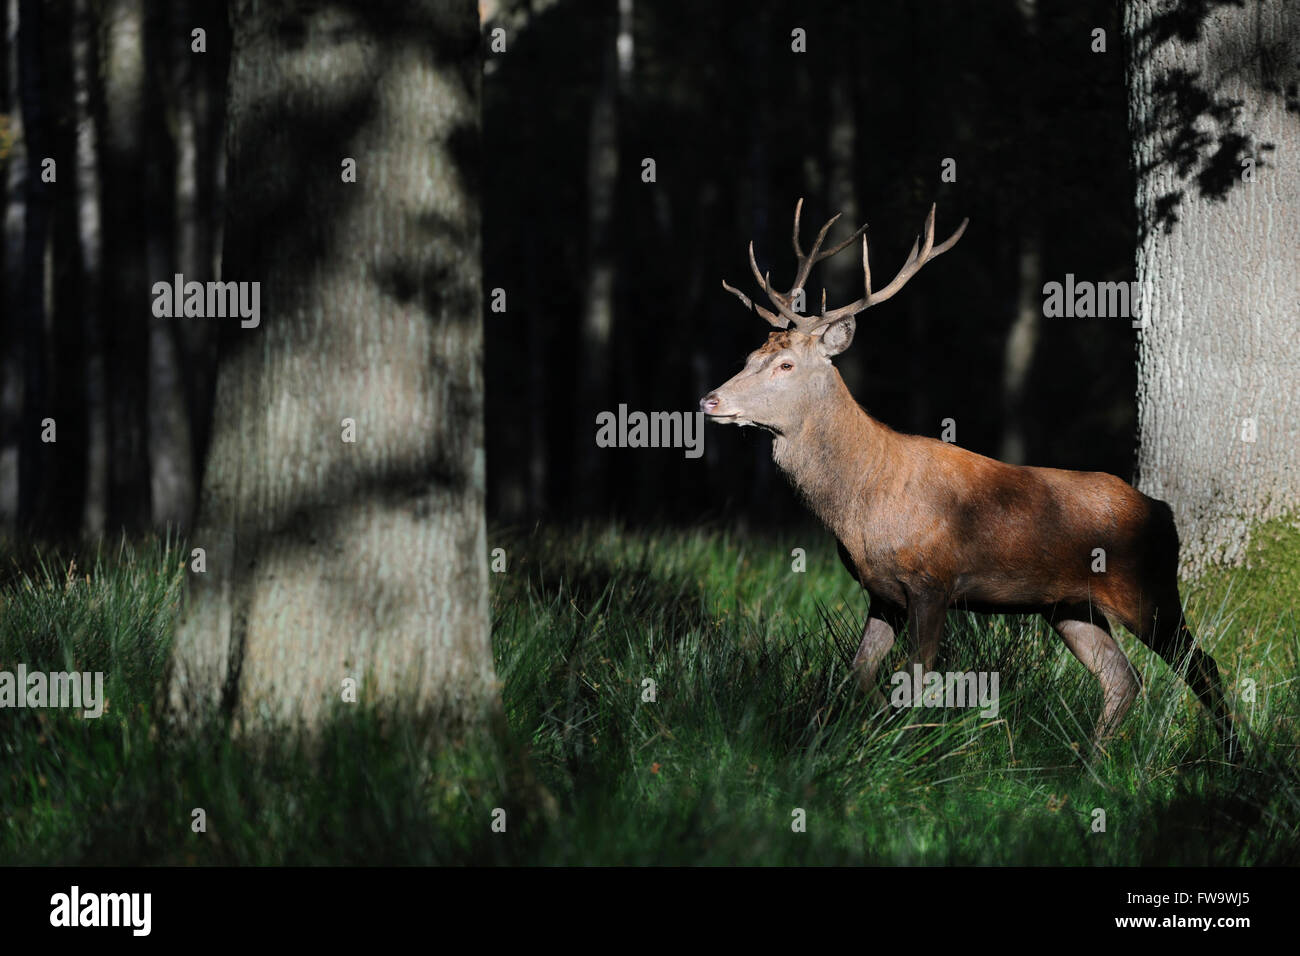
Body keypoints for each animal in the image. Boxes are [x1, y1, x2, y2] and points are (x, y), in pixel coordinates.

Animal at [699, 199, 1241, 763]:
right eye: (748, 358)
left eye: (785, 364)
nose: (709, 400)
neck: (861, 504)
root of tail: (1163, 510)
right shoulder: (881, 593)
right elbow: (859, 675)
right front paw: (851, 740)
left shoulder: (932, 580)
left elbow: (915, 677)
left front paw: (905, 752)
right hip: (1069, 606)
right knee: (1123, 677)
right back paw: (1088, 764)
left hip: (1147, 589)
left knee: (1202, 665)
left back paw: (1235, 759)